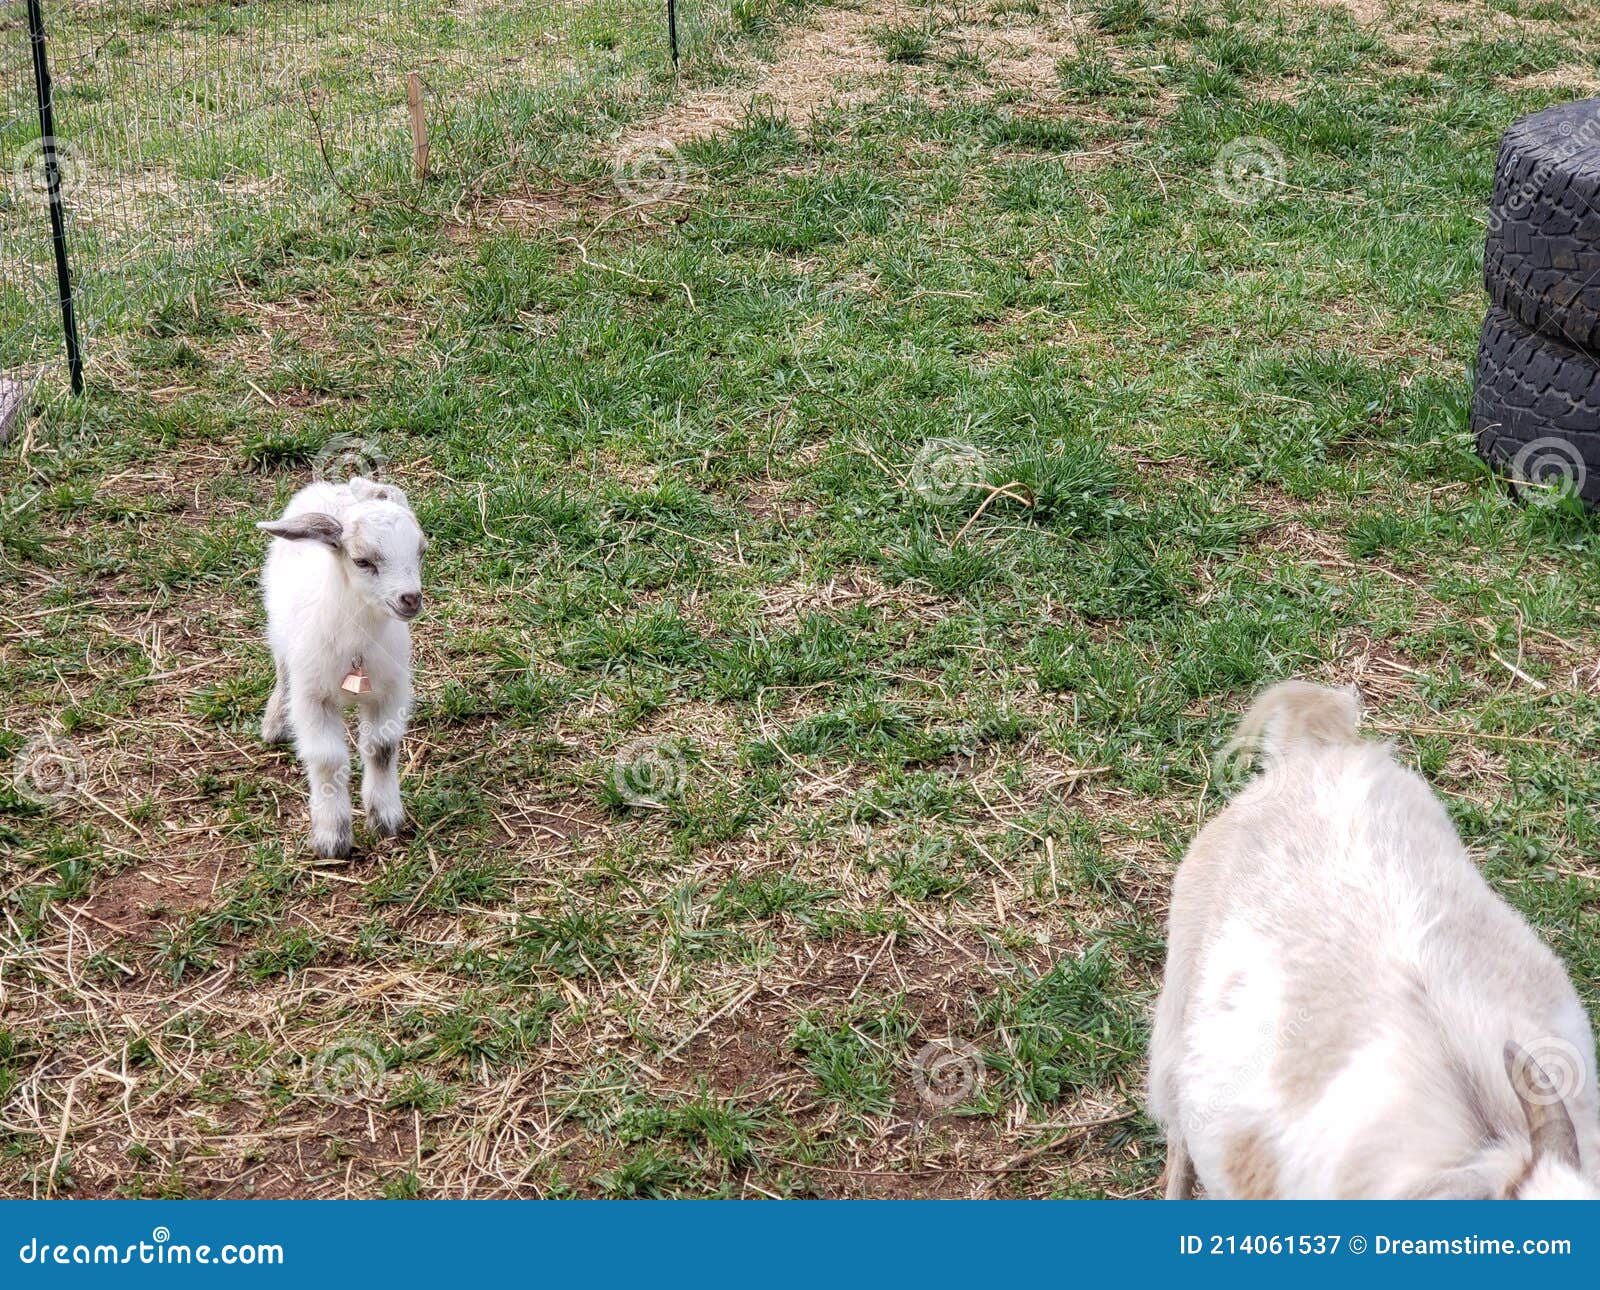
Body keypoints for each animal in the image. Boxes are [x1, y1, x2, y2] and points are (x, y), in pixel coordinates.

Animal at [257, 476, 425, 858]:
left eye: (421, 551)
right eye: (362, 561)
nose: (411, 599)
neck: (355, 650)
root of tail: (335, 487)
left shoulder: (391, 690)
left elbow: (381, 748)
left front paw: (386, 819)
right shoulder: (312, 697)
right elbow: (327, 760)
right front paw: (332, 837)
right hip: (278, 628)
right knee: (282, 670)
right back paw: (274, 723)